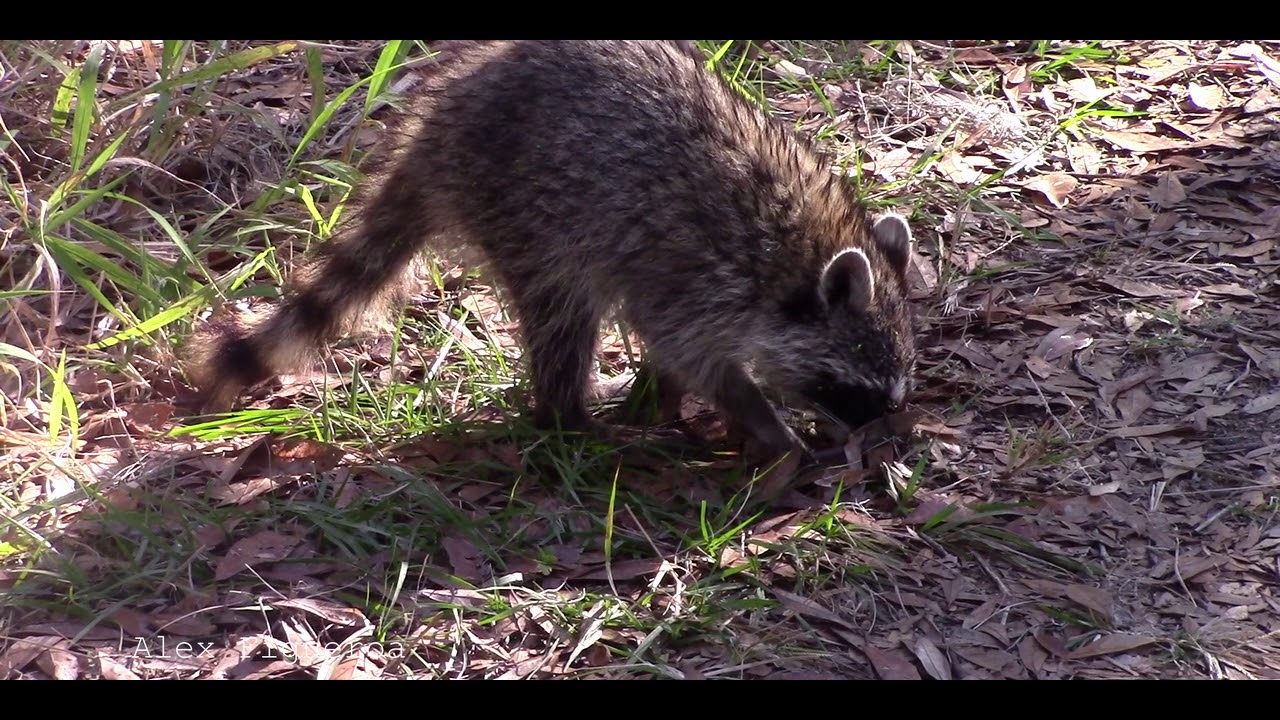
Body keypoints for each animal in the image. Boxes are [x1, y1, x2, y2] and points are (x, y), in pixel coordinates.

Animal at [188, 40, 916, 459]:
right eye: (855, 387)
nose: (888, 439)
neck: (798, 252)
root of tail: (433, 128)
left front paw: (666, 394)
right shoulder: (697, 269)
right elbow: (691, 347)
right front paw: (760, 419)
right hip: (526, 206)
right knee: (563, 315)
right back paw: (570, 419)